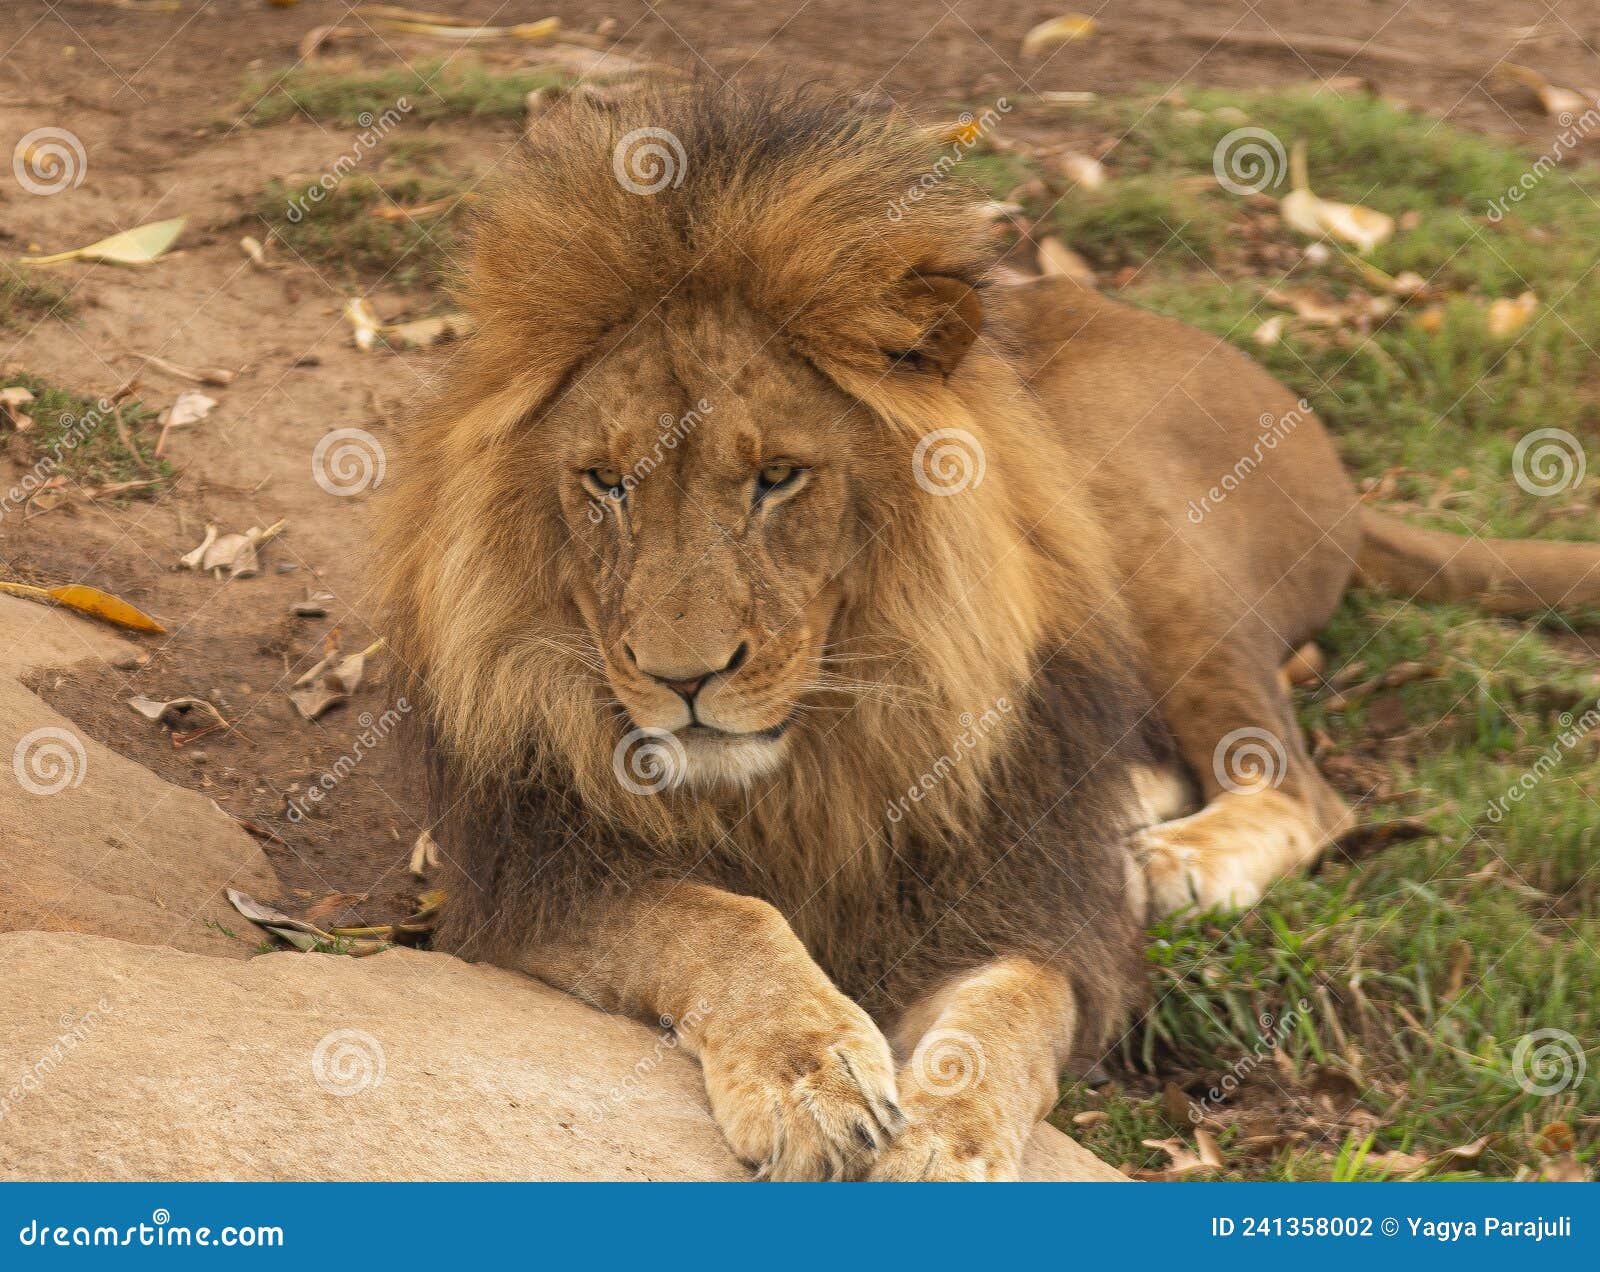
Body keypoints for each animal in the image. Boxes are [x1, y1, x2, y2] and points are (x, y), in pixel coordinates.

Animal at [376, 84, 1600, 1181]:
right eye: (607, 484)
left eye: (778, 479)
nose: (681, 679)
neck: (817, 760)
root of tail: (1310, 425)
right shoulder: (523, 883)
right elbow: (716, 917)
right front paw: (809, 1074)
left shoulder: (1030, 898)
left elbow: (1014, 1009)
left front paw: (942, 1139)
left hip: (1150, 528)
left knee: (1298, 783)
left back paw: (1170, 860)